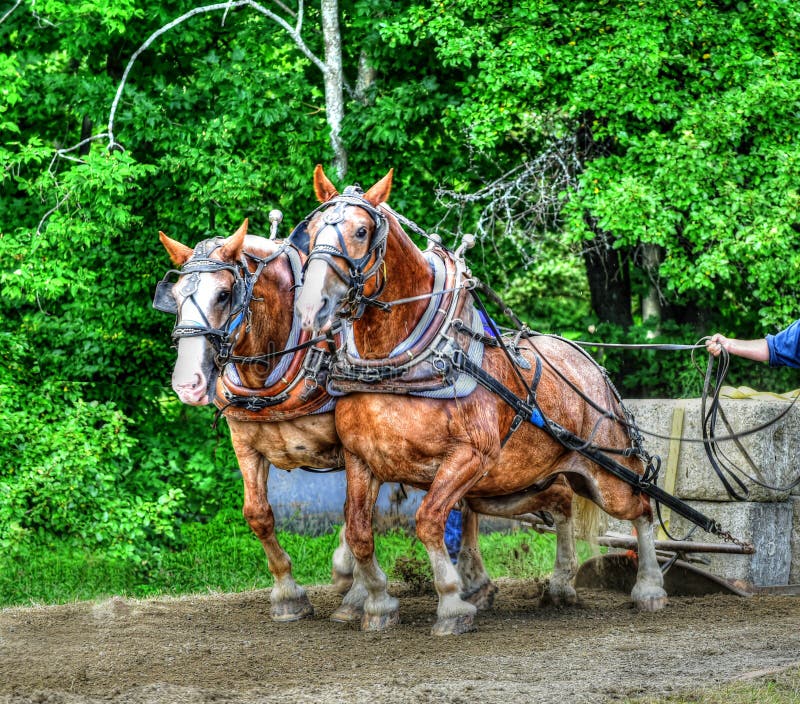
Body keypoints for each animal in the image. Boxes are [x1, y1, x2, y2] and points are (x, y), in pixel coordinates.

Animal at [295, 166, 667, 635]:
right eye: (310, 231)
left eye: (361, 231)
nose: (313, 305)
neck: (402, 364)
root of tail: (589, 364)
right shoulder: (361, 460)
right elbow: (360, 530)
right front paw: (378, 603)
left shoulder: (469, 455)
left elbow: (429, 520)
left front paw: (452, 603)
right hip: (509, 485)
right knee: (562, 503)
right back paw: (561, 584)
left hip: (603, 476)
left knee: (641, 507)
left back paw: (649, 588)